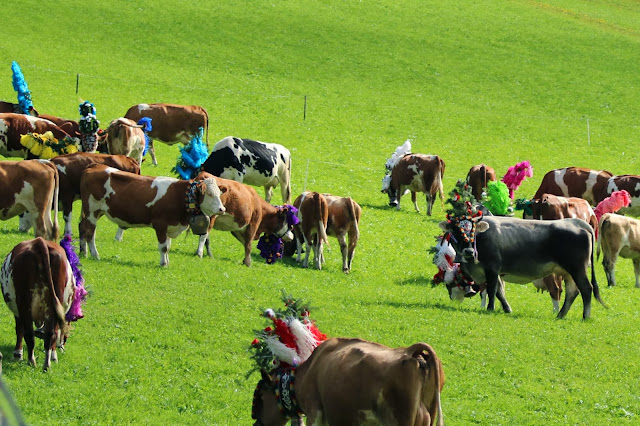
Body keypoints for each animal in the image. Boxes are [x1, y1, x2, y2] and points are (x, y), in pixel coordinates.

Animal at [0, 238, 76, 371]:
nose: (63, 345)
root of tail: (40, 242)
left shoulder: (18, 310)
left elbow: (19, 329)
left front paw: (18, 354)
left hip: (24, 303)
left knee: (29, 334)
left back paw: (32, 361)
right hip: (52, 303)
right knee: (50, 333)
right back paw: (46, 365)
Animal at [79, 165, 225, 266]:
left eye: (219, 194)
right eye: (209, 194)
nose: (222, 209)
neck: (179, 196)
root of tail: (94, 166)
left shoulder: (170, 226)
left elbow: (168, 247)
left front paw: (167, 262)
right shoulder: (160, 224)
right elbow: (163, 247)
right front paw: (163, 264)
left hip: (94, 212)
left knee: (82, 228)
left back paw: (83, 253)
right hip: (92, 211)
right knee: (90, 233)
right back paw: (95, 255)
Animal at [439, 215, 606, 319]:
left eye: (472, 231)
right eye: (456, 231)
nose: (468, 250)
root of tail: (576, 222)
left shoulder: (492, 268)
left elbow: (492, 290)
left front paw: (490, 308)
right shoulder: (494, 272)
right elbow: (500, 291)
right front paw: (507, 309)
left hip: (577, 269)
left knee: (586, 289)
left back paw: (585, 316)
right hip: (568, 272)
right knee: (572, 292)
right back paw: (560, 315)